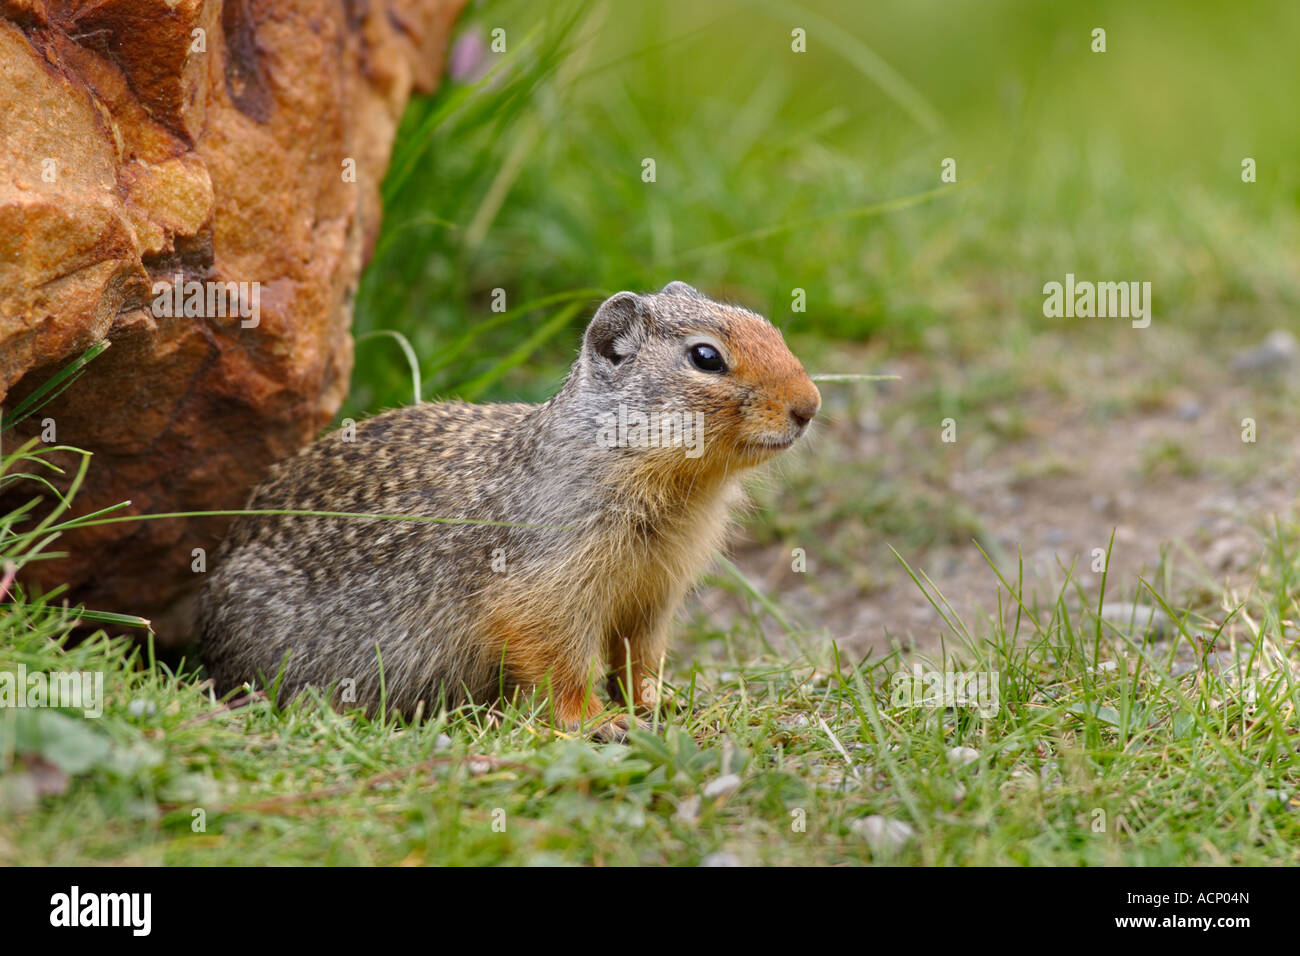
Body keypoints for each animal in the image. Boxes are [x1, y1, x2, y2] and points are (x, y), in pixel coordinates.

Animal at [198, 282, 820, 739]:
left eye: (767, 324)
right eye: (706, 357)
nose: (809, 406)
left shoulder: (654, 595)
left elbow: (640, 657)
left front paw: (662, 704)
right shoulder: (547, 586)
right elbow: (559, 661)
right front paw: (601, 722)